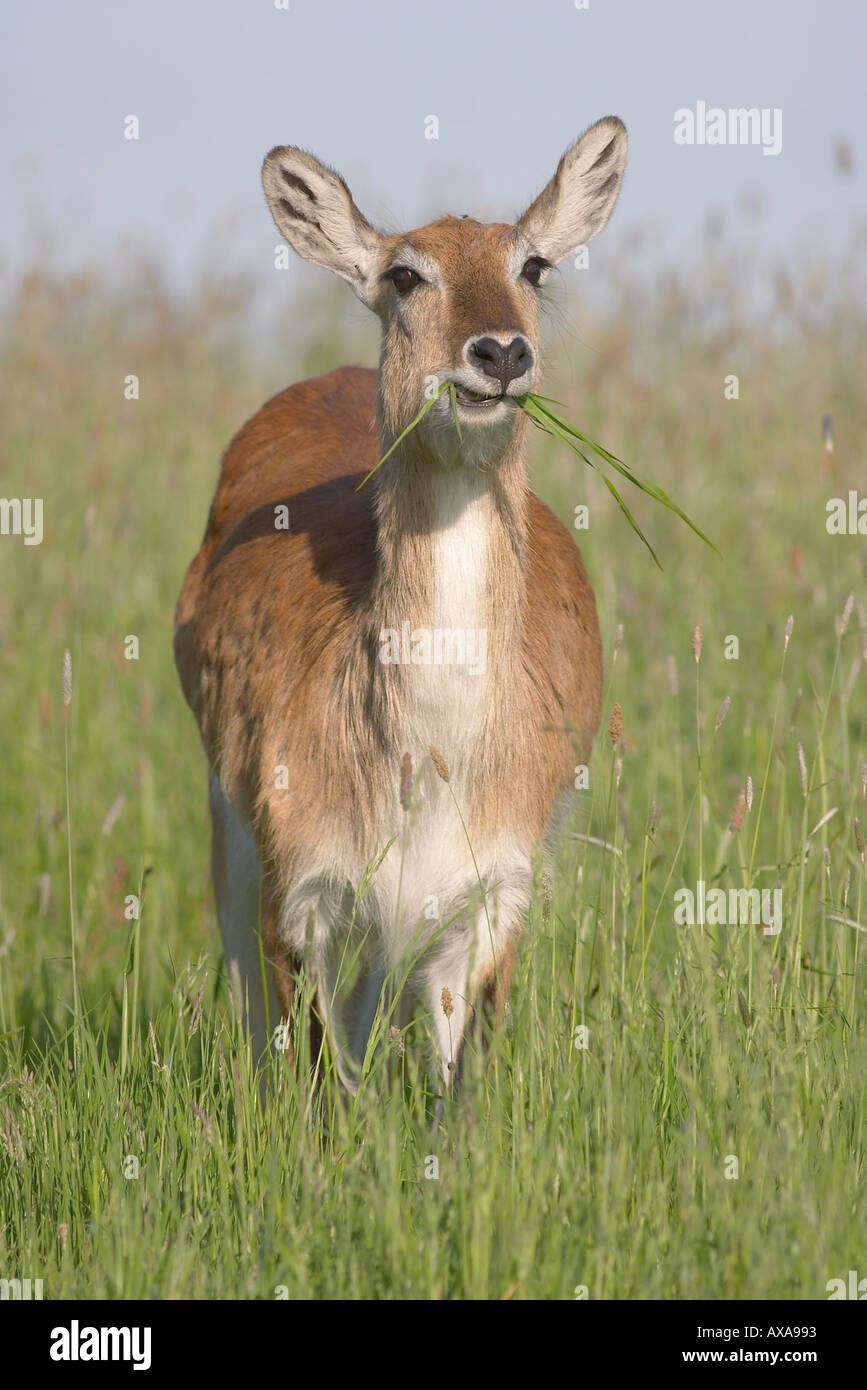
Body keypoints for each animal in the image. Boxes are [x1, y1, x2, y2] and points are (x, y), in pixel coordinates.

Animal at [174, 117, 627, 1090]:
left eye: (533, 264)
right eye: (405, 273)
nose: (498, 353)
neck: (426, 757)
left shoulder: (488, 899)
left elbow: (458, 1089)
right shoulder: (297, 890)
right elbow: (315, 1080)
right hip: (229, 836)